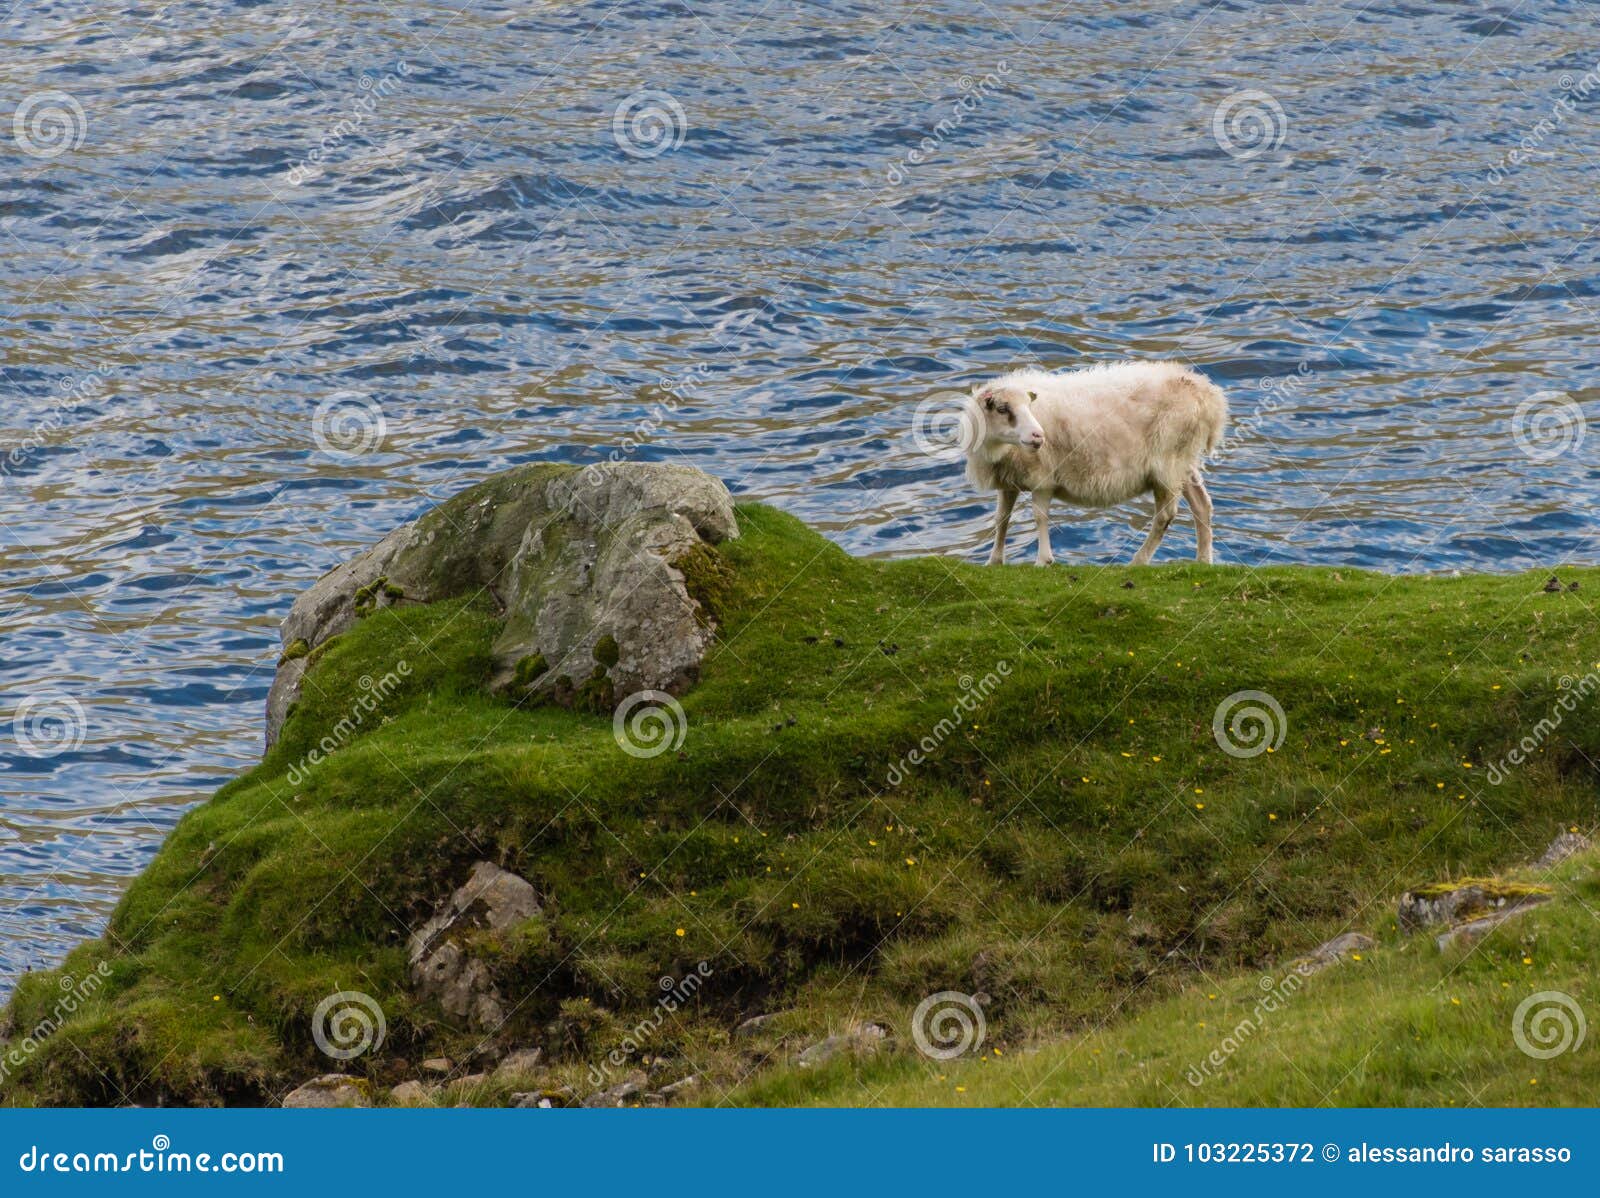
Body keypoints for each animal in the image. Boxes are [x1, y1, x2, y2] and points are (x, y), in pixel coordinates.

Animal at [961, 361, 1228, 567]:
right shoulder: (1009, 478)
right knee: (1201, 504)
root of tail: (1207, 394)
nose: (1038, 436)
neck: (1001, 449)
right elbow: (1001, 518)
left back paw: (1138, 562)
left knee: (1165, 516)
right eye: (1002, 408)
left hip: (1168, 461)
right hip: (1183, 461)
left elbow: (1039, 517)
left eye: (1029, 407)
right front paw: (994, 561)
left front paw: (1043, 561)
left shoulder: (1043, 478)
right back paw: (1203, 561)